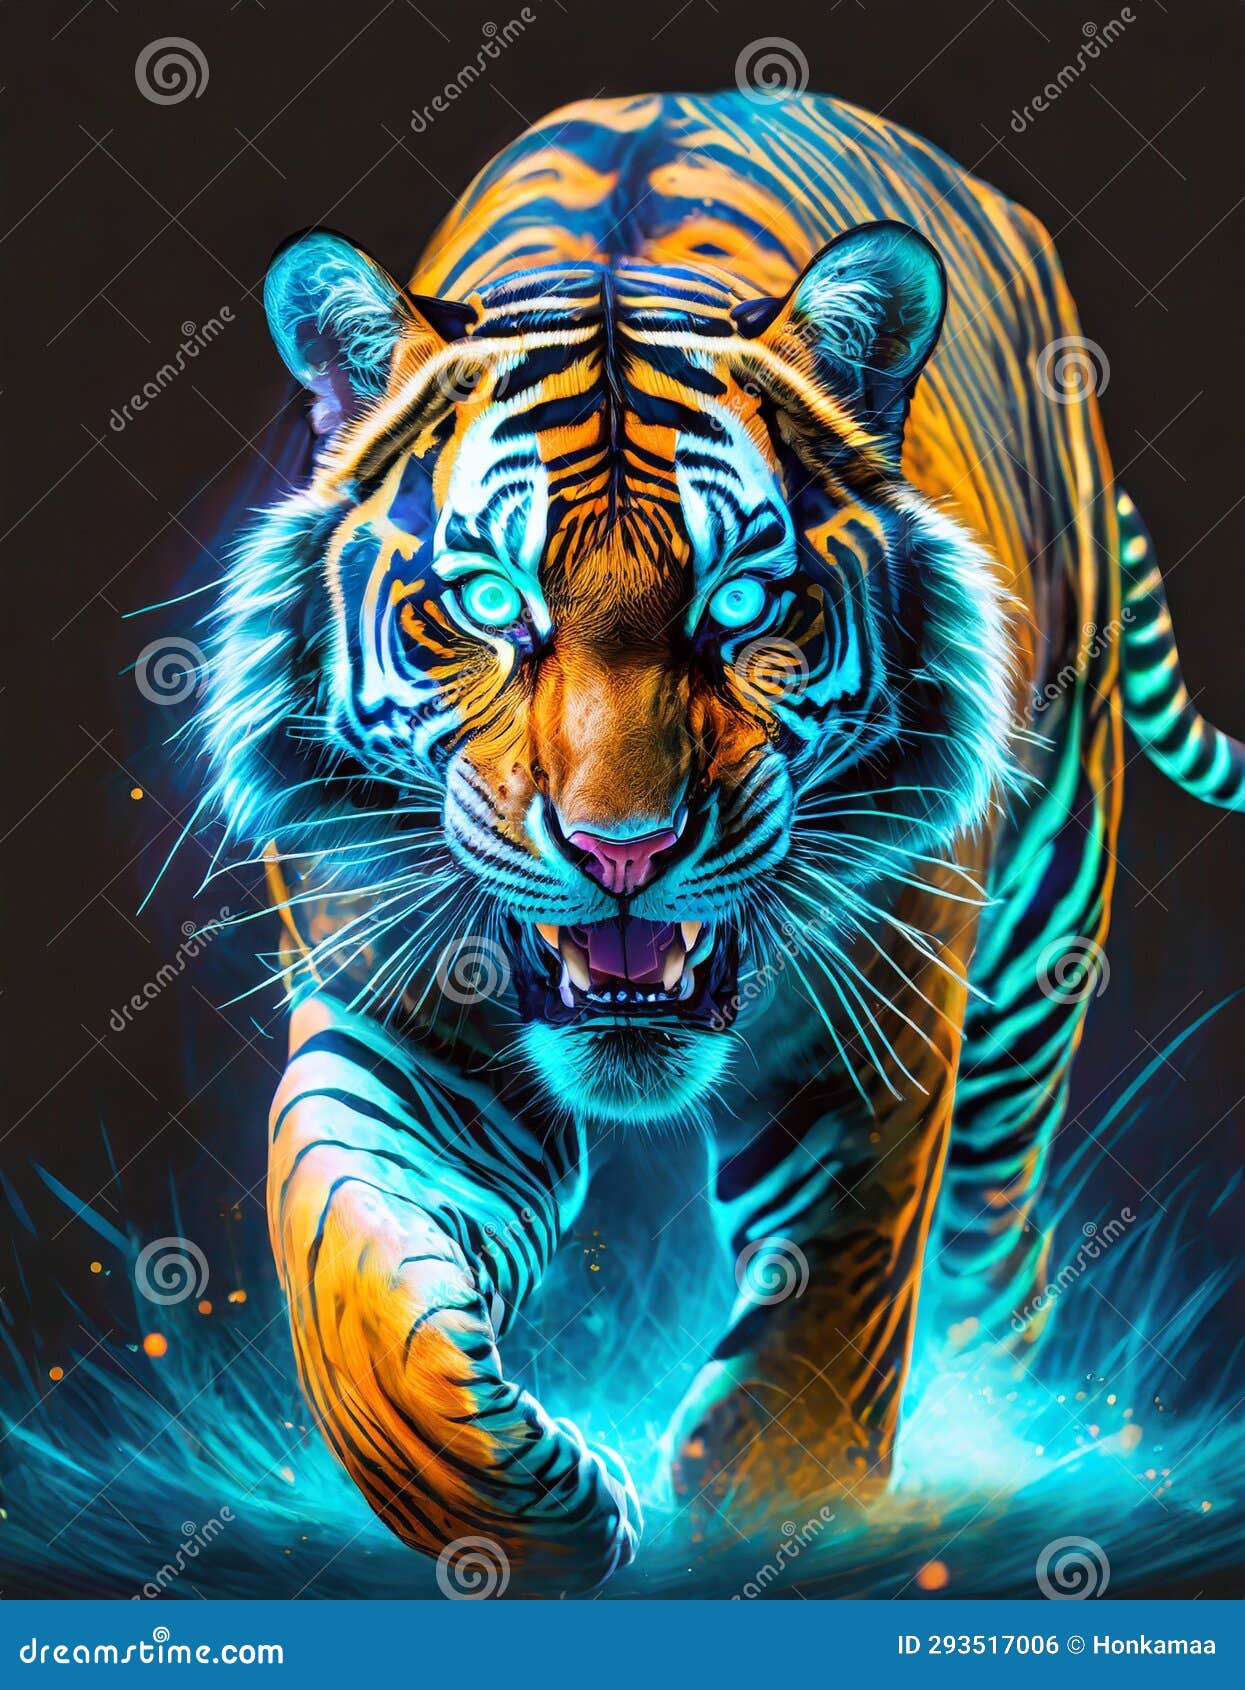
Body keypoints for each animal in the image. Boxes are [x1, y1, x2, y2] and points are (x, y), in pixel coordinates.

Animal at [189, 92, 1245, 1593]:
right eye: (490, 601)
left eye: (743, 602)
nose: (623, 848)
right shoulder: (407, 1029)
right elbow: (353, 1275)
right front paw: (539, 1509)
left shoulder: (871, 1036)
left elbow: (810, 1367)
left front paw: (780, 1529)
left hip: (1036, 965)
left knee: (996, 1258)